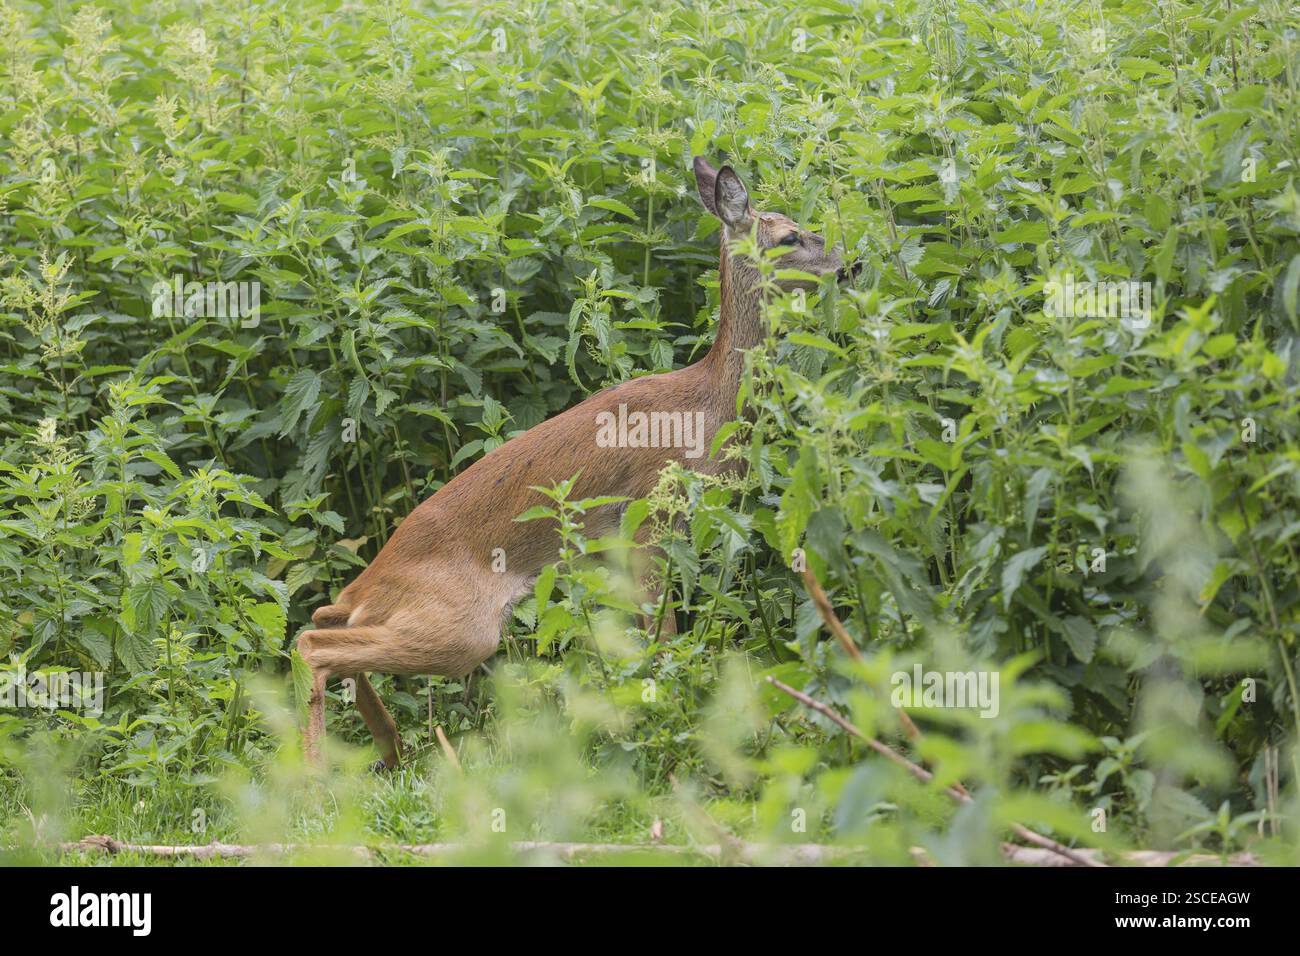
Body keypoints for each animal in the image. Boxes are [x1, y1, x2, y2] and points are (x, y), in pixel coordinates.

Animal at [296, 157, 857, 769]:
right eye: (789, 237)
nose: (851, 263)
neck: (707, 407)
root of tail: (371, 584)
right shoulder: (649, 518)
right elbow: (664, 634)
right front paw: (669, 712)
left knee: (324, 619)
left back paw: (389, 747)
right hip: (462, 629)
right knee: (313, 643)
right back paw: (318, 773)